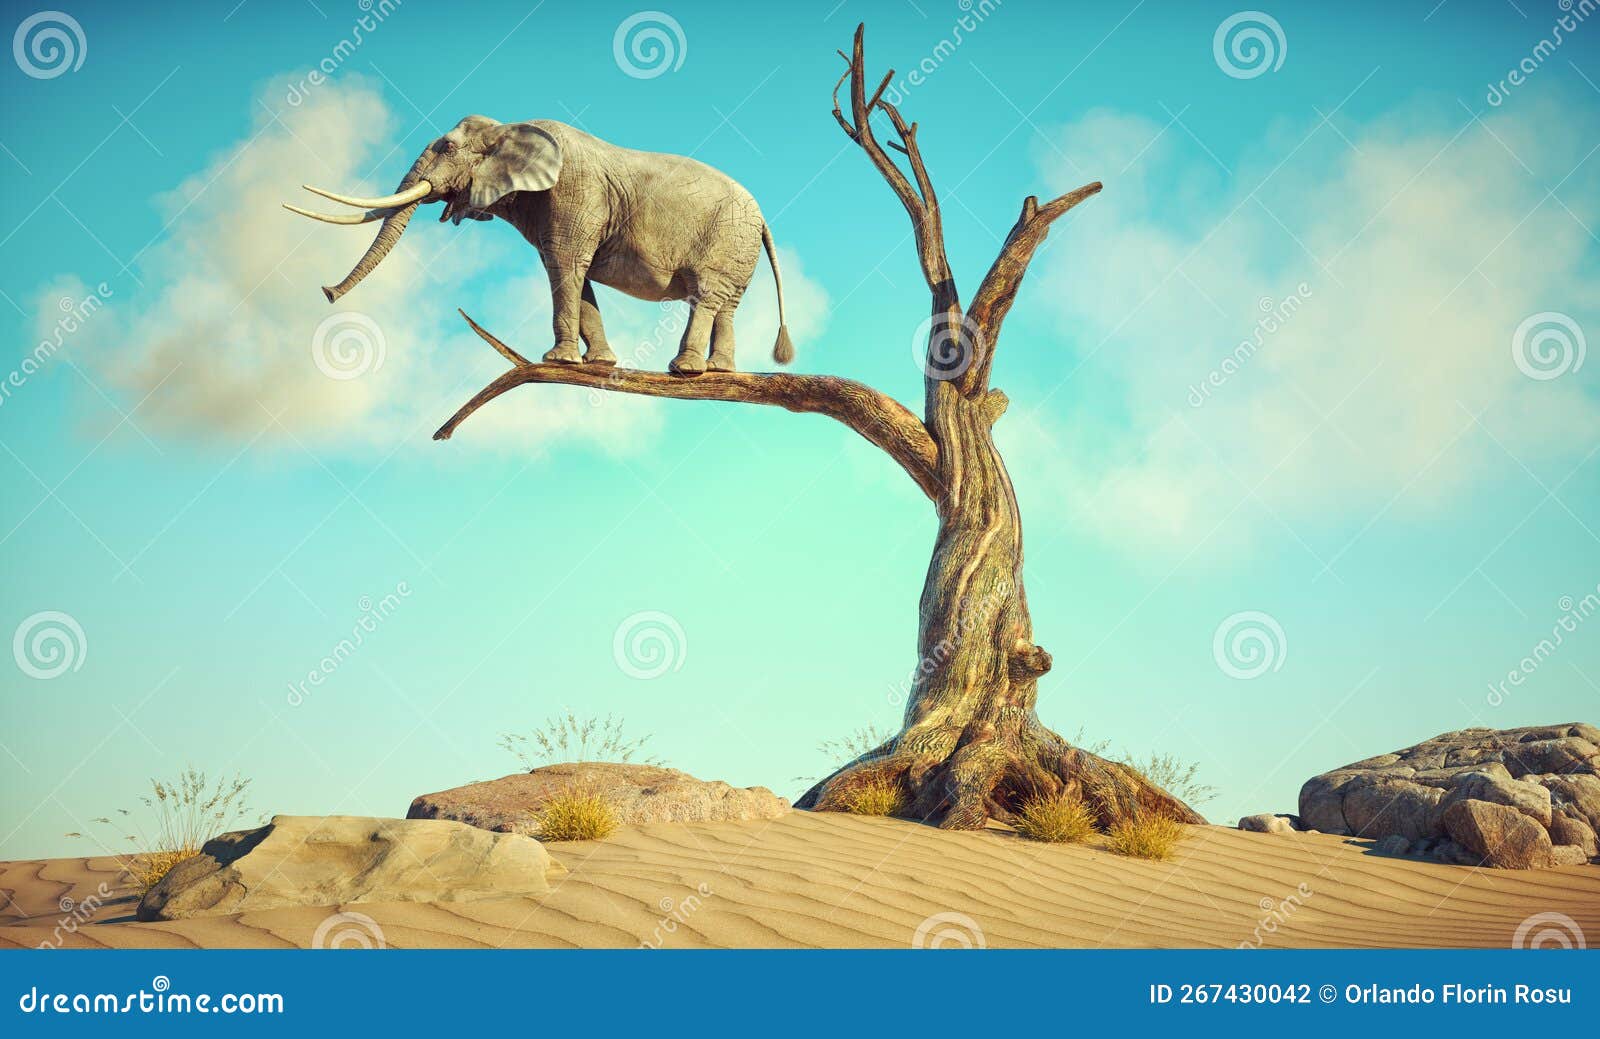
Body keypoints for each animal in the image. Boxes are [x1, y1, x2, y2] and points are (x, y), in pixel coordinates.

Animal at [285, 115, 794, 376]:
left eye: (446, 148)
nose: (326, 293)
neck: (509, 127)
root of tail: (763, 218)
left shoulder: (574, 195)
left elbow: (565, 267)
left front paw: (557, 361)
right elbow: (574, 275)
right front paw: (595, 362)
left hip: (726, 238)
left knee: (705, 297)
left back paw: (684, 370)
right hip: (736, 246)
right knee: (724, 304)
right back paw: (720, 372)